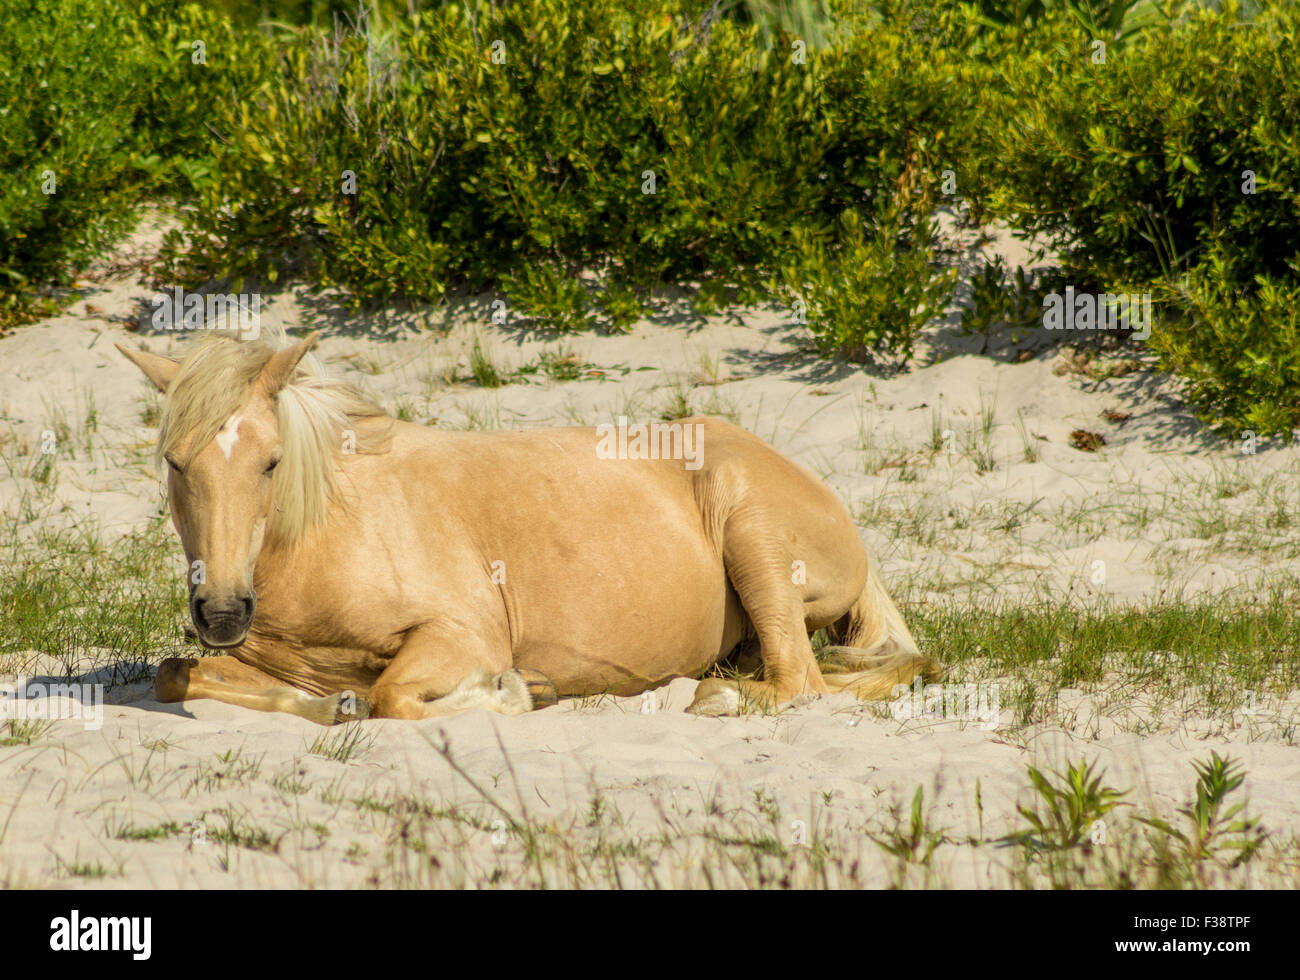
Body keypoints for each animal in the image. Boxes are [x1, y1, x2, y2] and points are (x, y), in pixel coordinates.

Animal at [117, 331, 938, 723]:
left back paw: (709, 699)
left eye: (271, 462)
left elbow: (393, 696)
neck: (325, 534)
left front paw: (520, 691)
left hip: (752, 536)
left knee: (798, 684)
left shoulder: (461, 636)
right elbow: (176, 675)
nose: (223, 612)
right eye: (175, 463)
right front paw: (329, 703)